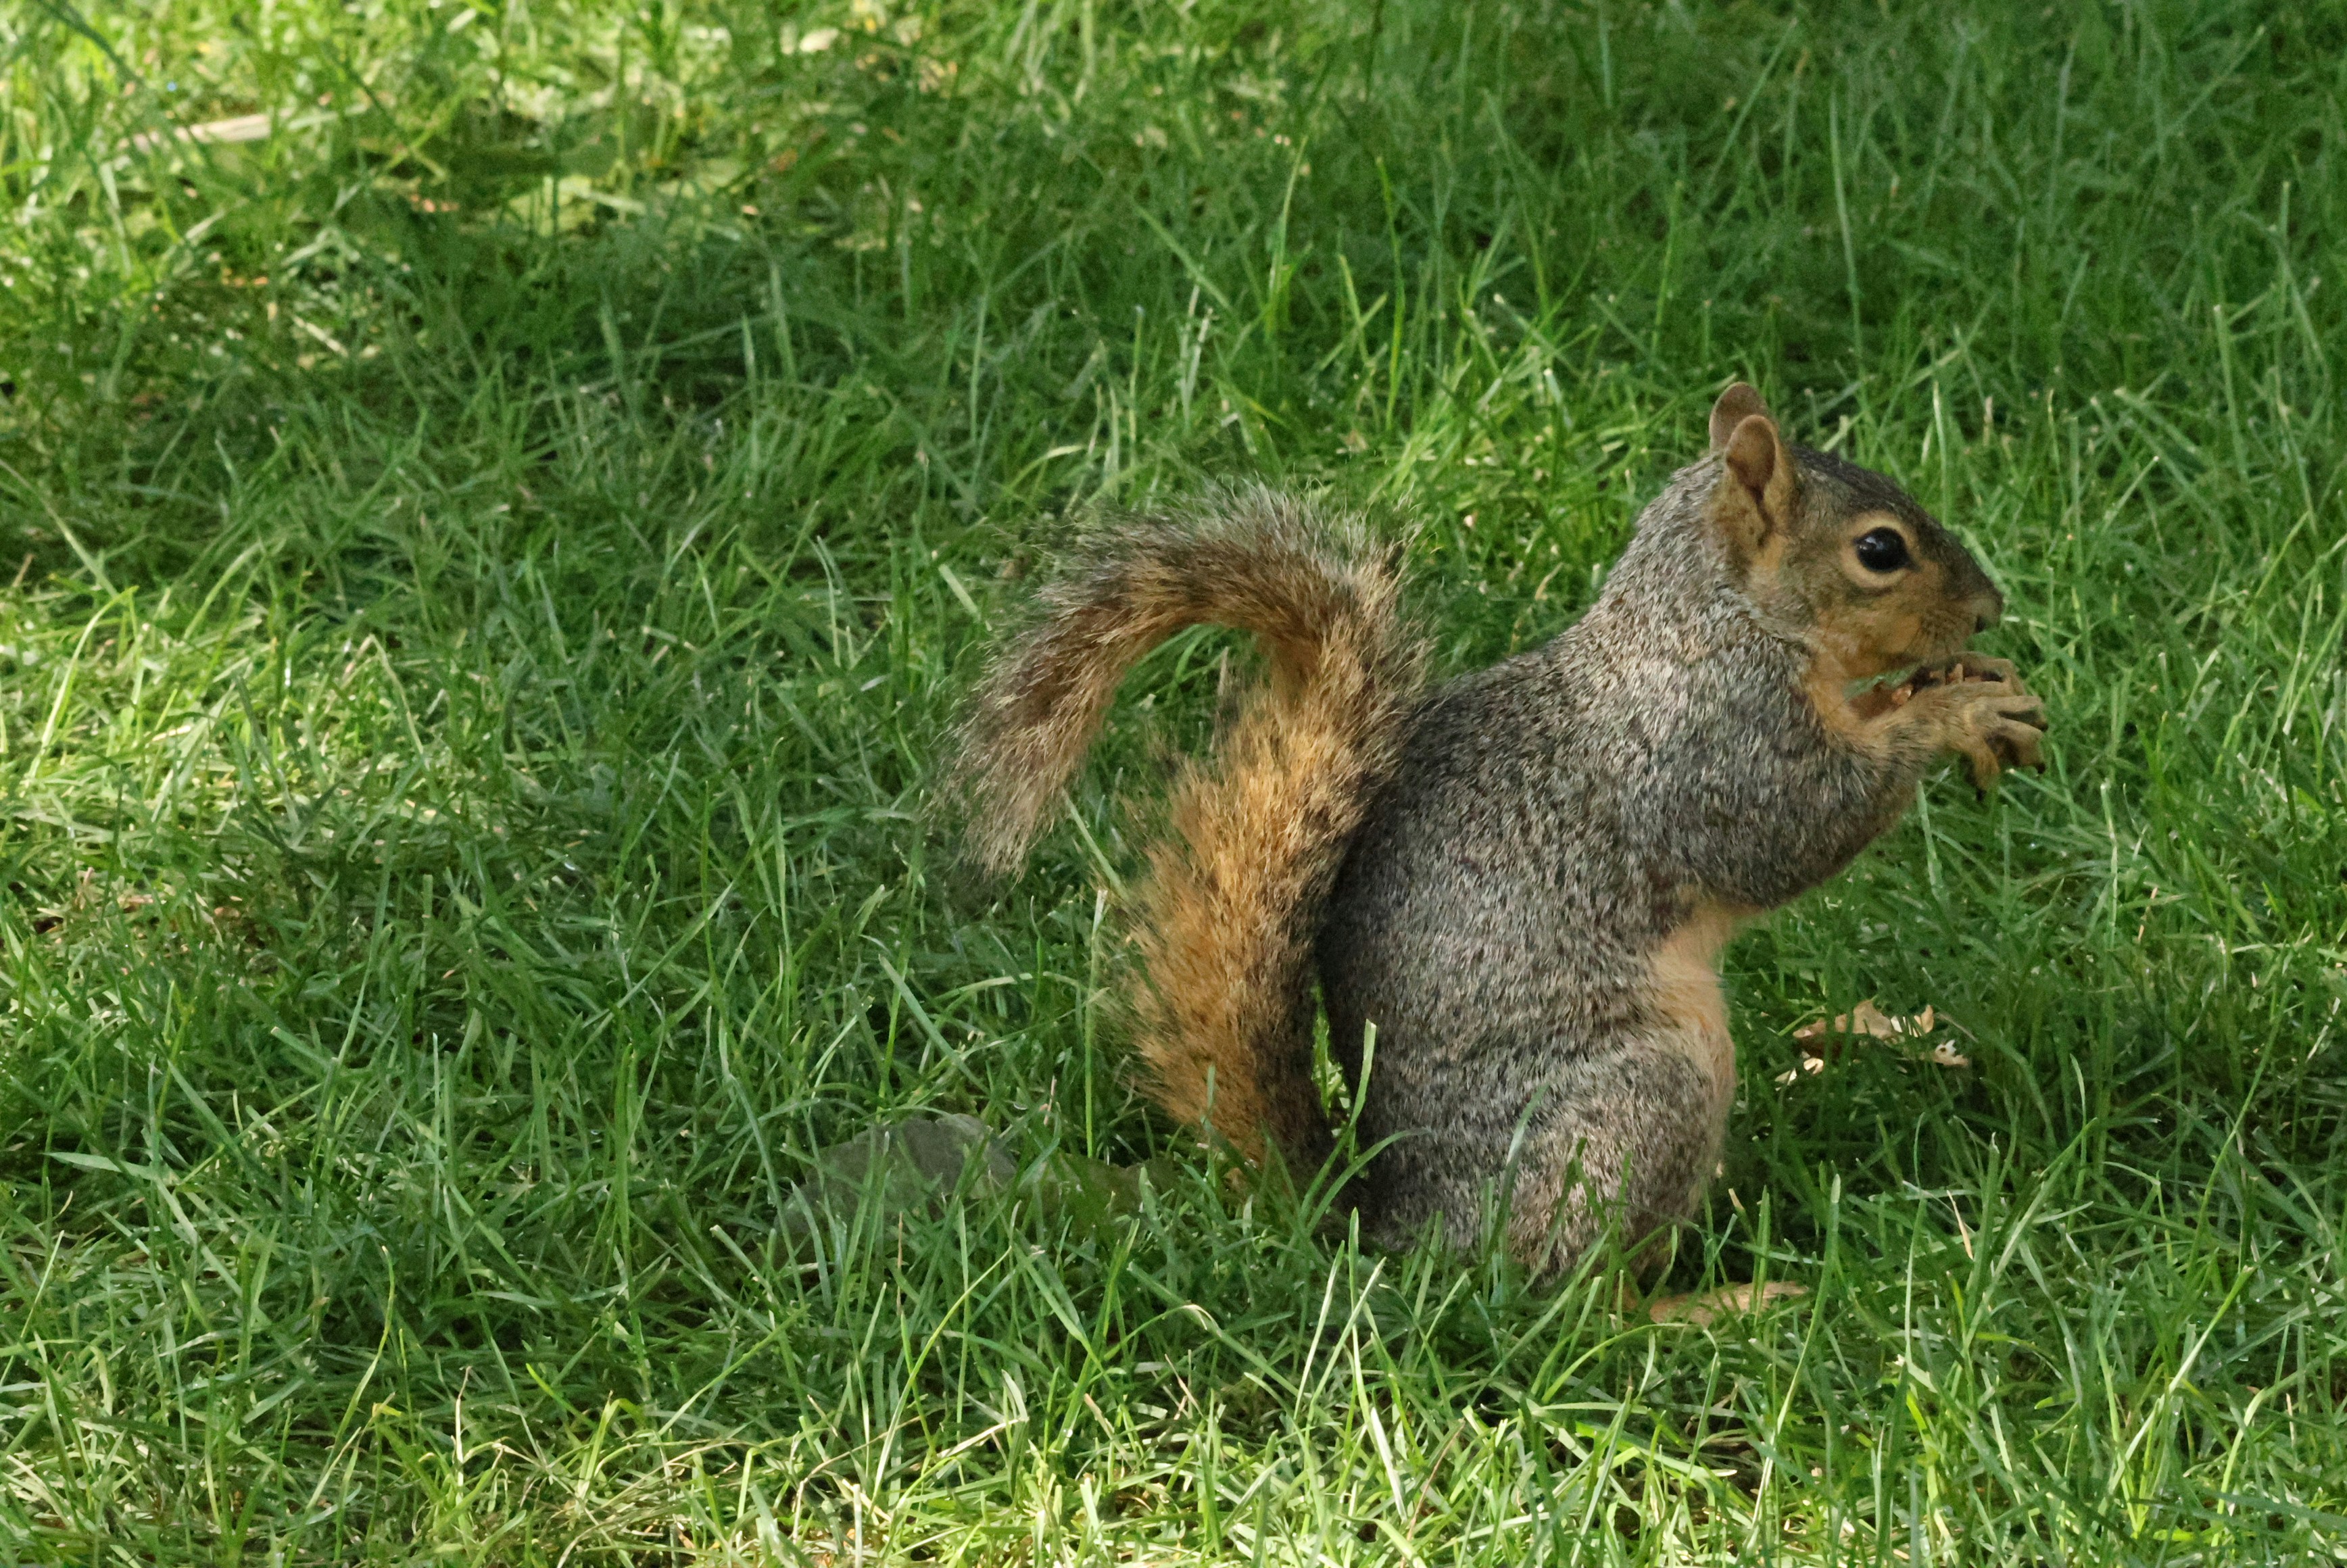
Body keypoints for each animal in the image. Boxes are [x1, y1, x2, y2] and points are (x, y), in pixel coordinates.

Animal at [949, 384, 2047, 1277]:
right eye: (1879, 550)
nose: (1990, 611)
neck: (1712, 618)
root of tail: (1401, 1230)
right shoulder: (1714, 746)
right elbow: (1798, 825)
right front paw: (1951, 713)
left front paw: (1949, 692)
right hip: (1642, 1095)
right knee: (1570, 1293)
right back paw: (1709, 1301)